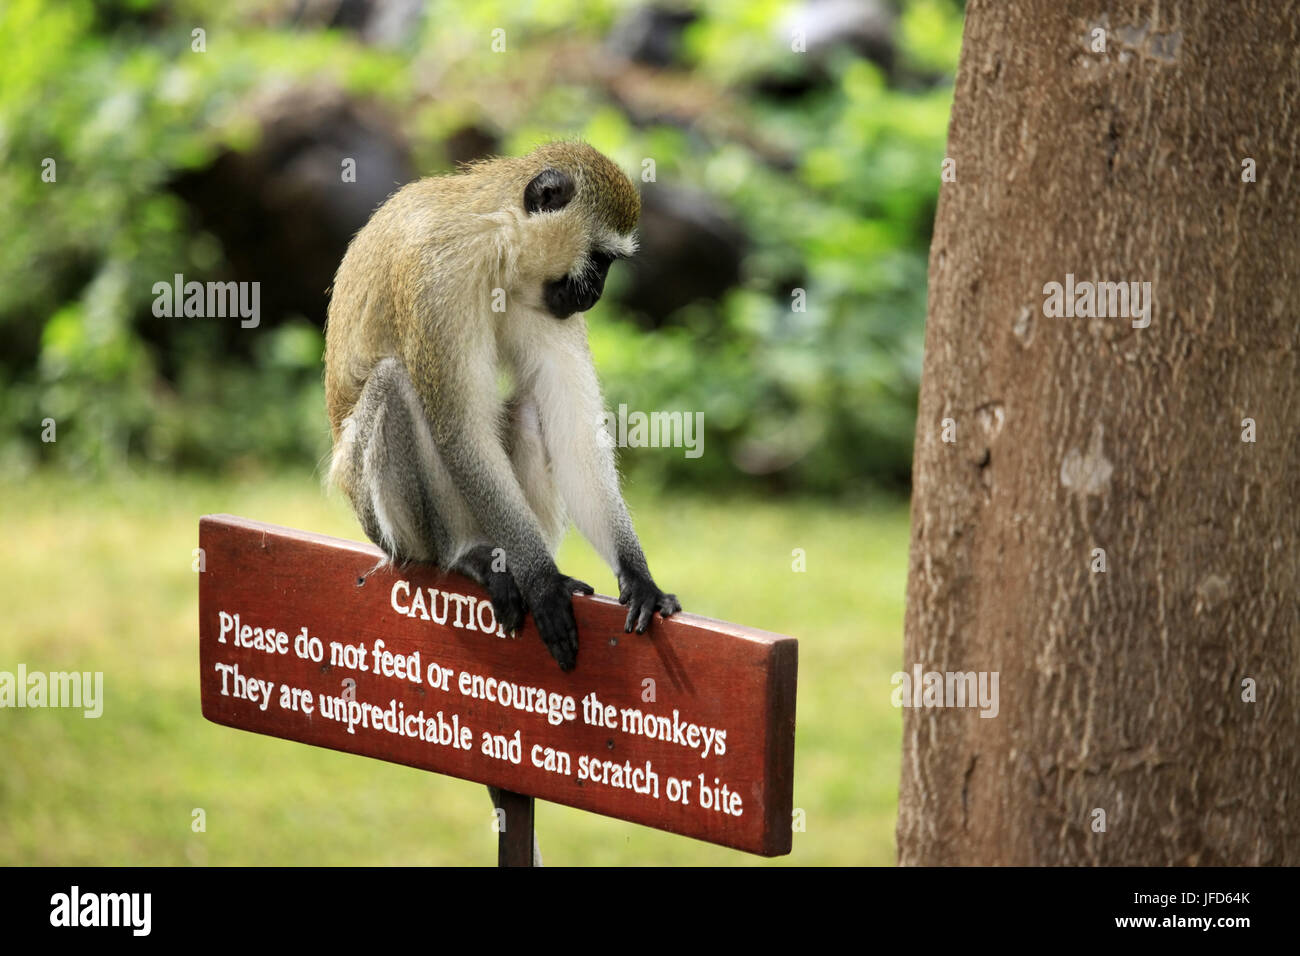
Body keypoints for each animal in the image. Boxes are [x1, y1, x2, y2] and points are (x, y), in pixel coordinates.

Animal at [323, 141, 682, 676]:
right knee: (393, 385)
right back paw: (465, 557)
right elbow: (460, 432)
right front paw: (543, 582)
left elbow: (574, 437)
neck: (496, 240)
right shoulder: (438, 279)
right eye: (599, 258)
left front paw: (638, 577)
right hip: (385, 525)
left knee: (533, 412)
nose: (595, 295)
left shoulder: (545, 301)